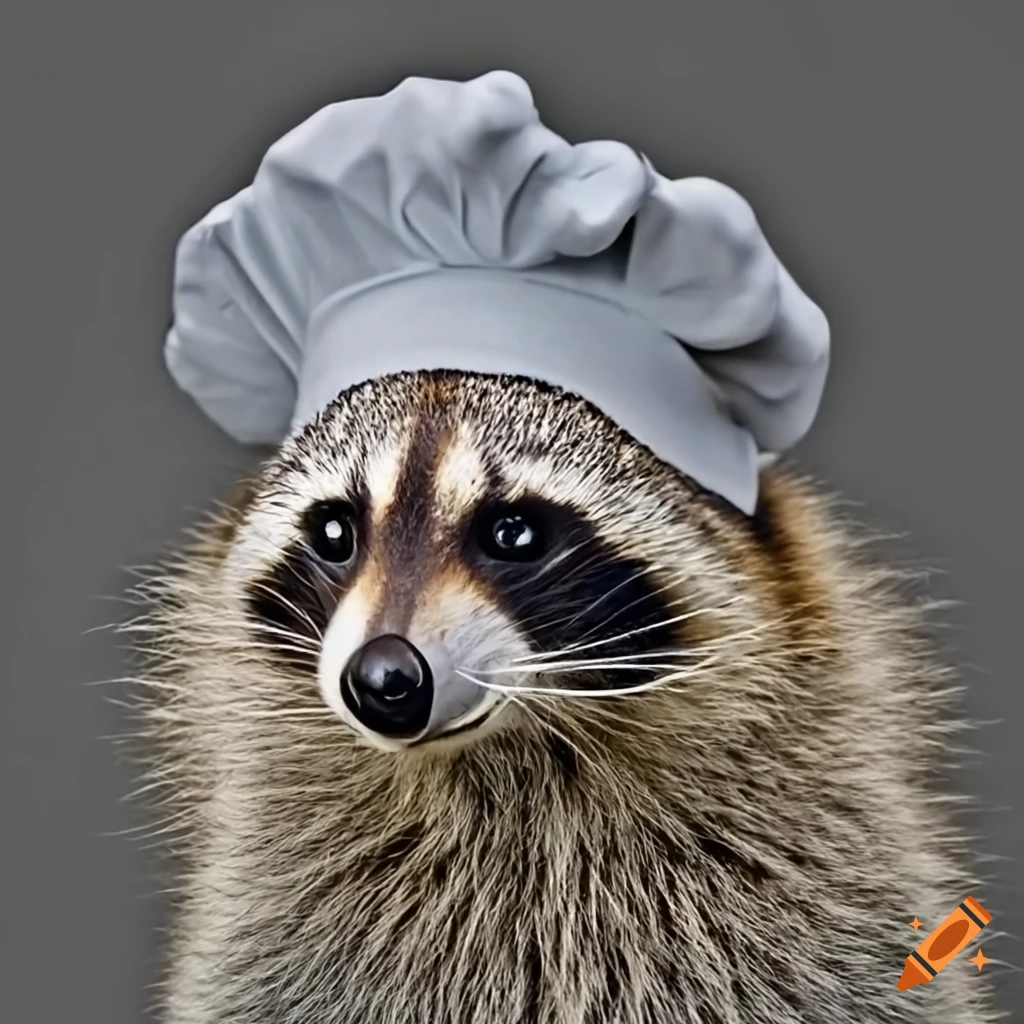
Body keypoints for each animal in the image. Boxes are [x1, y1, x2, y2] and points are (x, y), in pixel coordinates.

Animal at [126, 369, 999, 1024]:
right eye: (336, 532)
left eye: (513, 531)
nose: (384, 679)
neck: (511, 774)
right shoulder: (279, 944)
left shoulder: (811, 914)